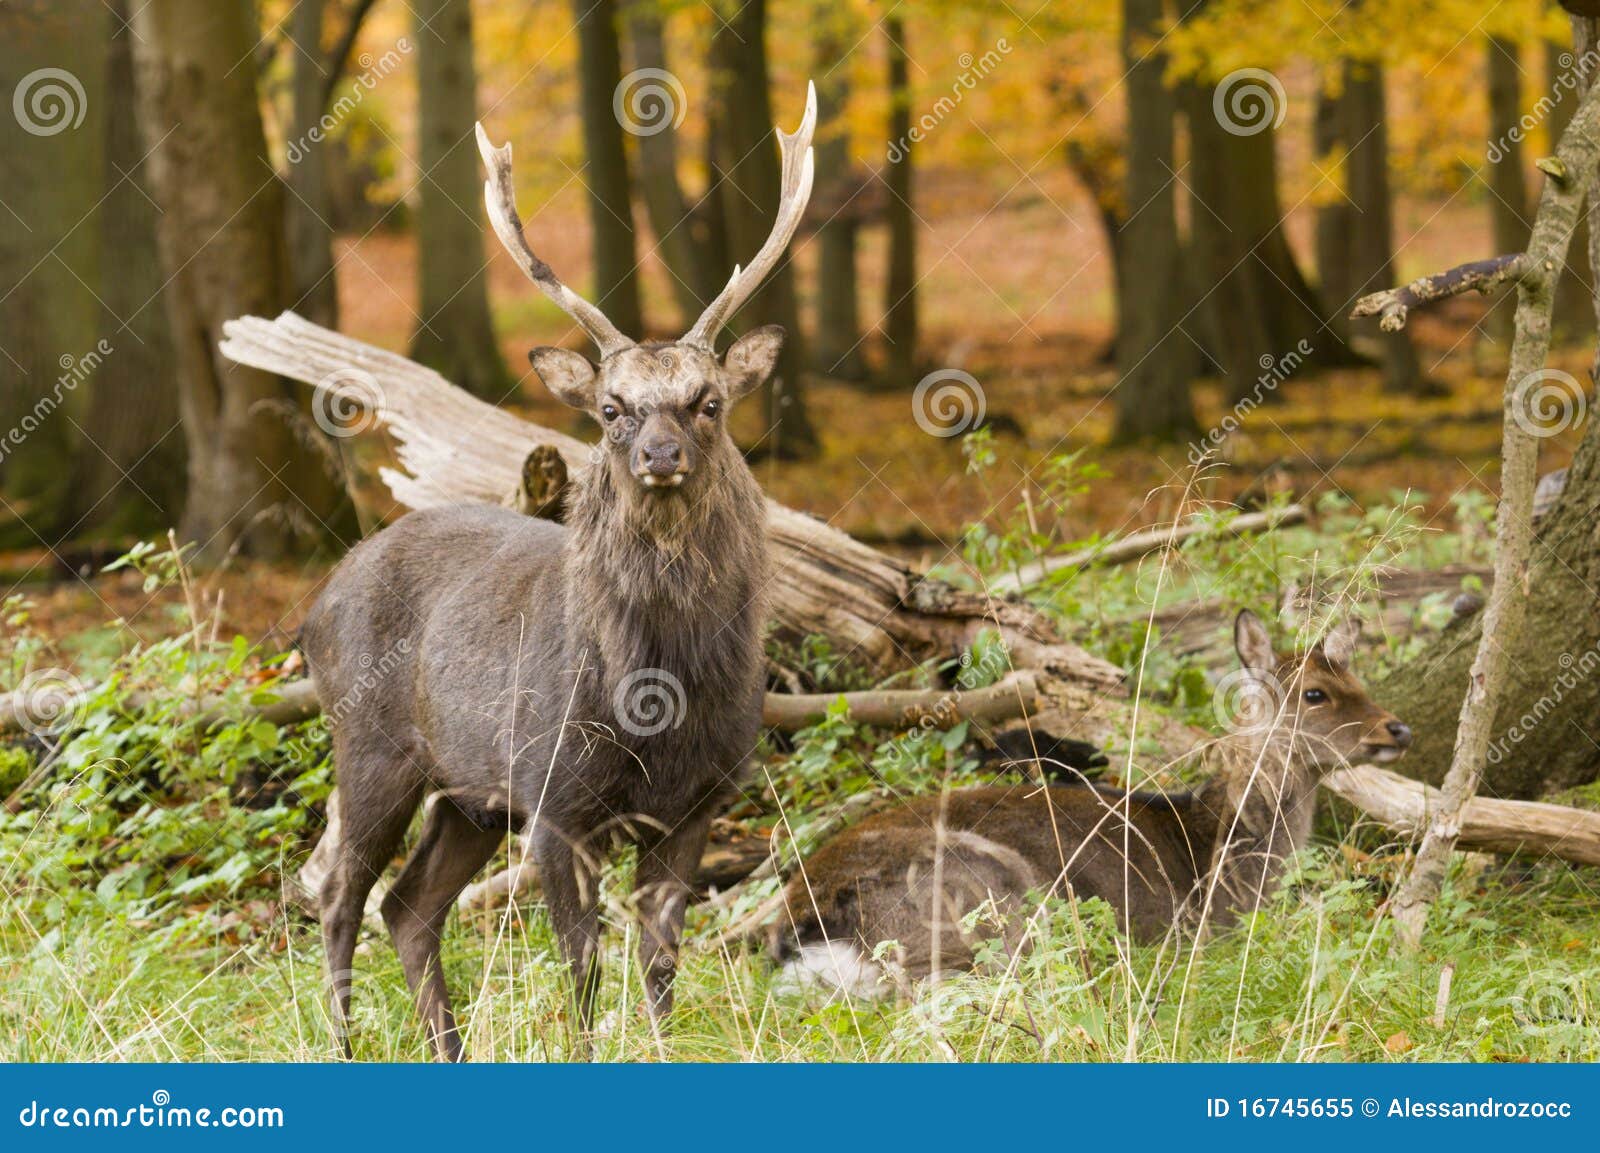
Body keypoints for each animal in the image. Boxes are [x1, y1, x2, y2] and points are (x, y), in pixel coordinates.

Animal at [298, 85, 818, 1061]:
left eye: (710, 401)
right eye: (611, 408)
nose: (659, 455)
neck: (658, 697)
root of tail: (313, 604)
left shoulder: (698, 801)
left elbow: (658, 962)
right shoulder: (555, 798)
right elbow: (581, 966)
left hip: (468, 794)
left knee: (409, 904)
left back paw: (449, 1048)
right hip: (372, 745)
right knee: (338, 890)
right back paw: (343, 1043)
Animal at [769, 610, 1412, 996]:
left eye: (1361, 682)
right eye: (1315, 694)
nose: (1399, 728)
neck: (1228, 854)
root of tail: (806, 933)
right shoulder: (1204, 927)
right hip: (988, 893)